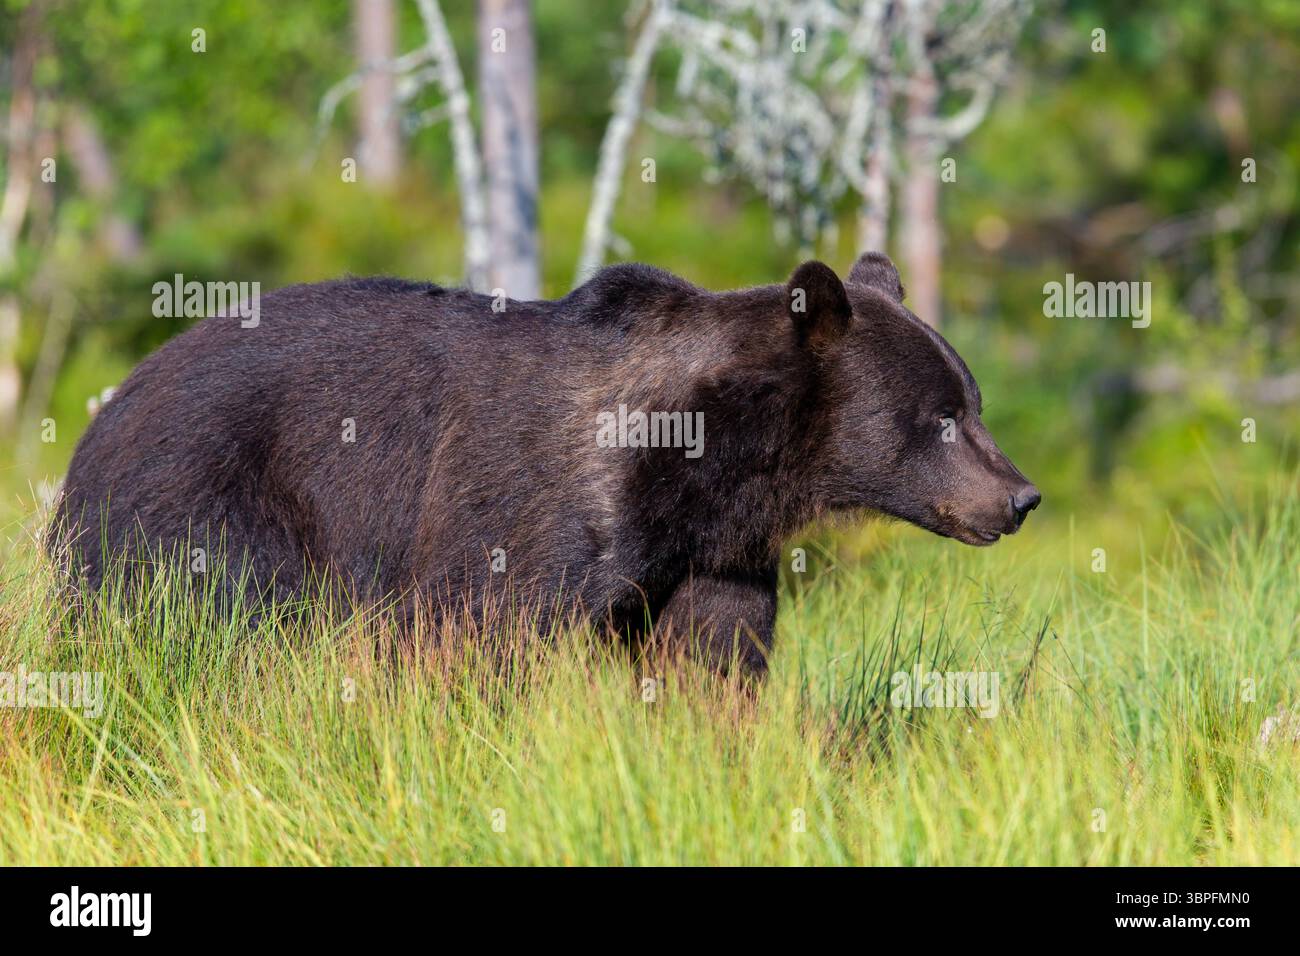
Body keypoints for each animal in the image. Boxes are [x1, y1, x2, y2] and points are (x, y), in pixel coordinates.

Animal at [51, 252, 1039, 677]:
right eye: (941, 418)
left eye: (973, 400)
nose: (1020, 496)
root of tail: (107, 405)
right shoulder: (524, 508)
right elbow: (489, 634)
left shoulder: (712, 551)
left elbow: (713, 654)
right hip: (195, 496)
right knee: (215, 620)